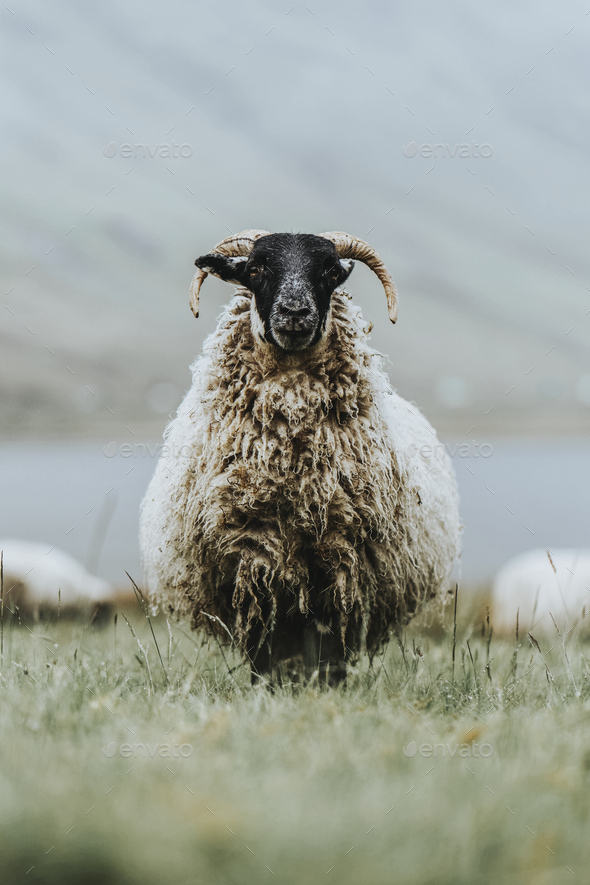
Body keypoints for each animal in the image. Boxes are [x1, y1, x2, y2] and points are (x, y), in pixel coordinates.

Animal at [140, 230, 461, 683]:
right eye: (255, 269)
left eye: (329, 271)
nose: (295, 311)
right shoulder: (251, 561)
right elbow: (262, 643)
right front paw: (265, 687)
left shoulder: (340, 565)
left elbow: (328, 644)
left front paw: (324, 687)